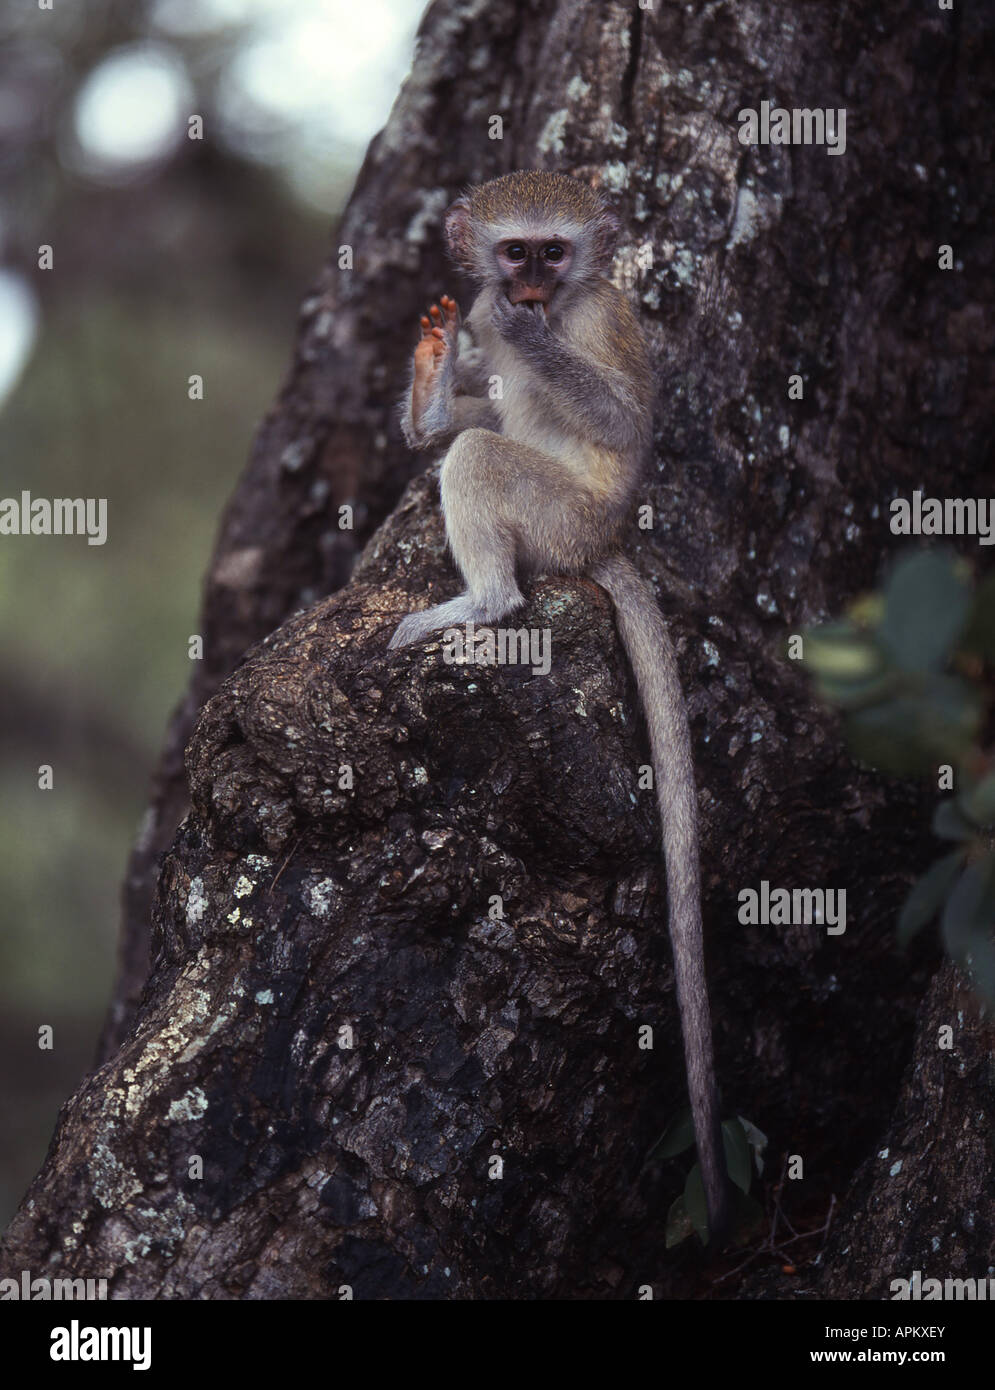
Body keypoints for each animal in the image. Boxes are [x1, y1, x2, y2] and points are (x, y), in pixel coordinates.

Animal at [389, 170, 729, 1241]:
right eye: (513, 252)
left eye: (551, 254)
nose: (527, 292)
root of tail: (601, 544)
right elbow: (449, 406)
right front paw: (437, 360)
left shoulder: (603, 318)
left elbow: (622, 424)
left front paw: (521, 336)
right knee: (466, 438)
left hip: (557, 520)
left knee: (480, 459)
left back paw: (484, 602)